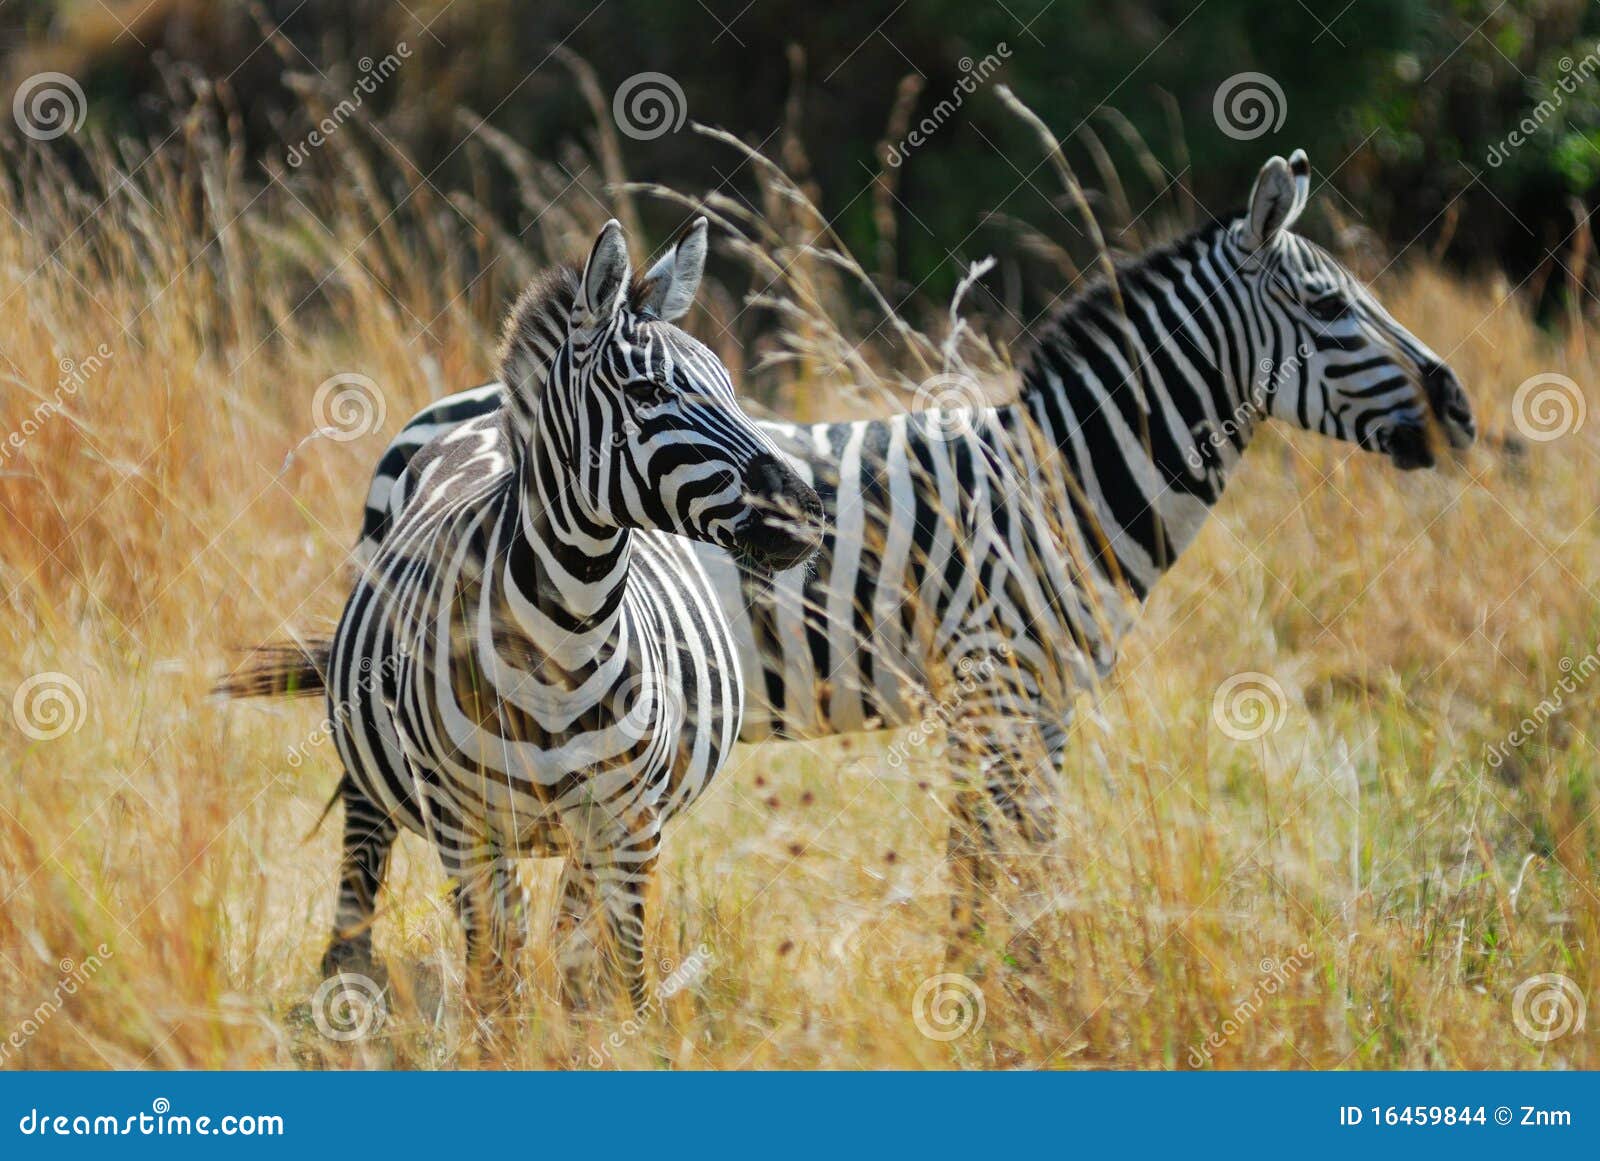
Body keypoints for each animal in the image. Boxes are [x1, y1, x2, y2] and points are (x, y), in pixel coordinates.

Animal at [222, 217, 823, 1013]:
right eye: (649, 391)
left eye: (731, 388)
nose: (807, 513)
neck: (568, 634)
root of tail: (477, 408)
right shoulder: (468, 832)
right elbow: (494, 984)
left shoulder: (629, 825)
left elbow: (618, 971)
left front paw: (608, 1030)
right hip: (377, 756)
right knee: (363, 845)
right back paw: (347, 977)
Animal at [274, 150, 1479, 953]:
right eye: (1329, 305)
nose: (1462, 410)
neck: (1066, 486)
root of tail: (433, 413)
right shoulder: (995, 683)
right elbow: (998, 854)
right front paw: (1007, 985)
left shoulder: (1035, 700)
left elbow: (1006, 854)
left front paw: (1008, 978)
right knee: (365, 849)